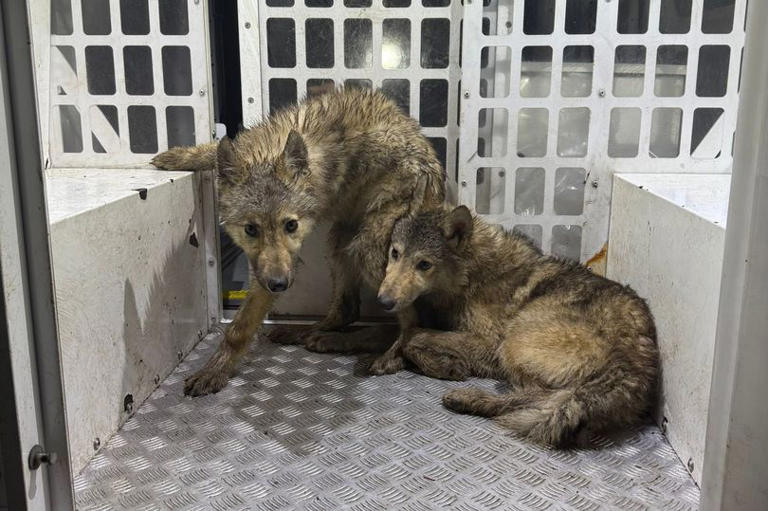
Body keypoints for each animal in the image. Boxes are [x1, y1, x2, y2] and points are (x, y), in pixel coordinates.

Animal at [152, 87, 445, 395]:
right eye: (251, 229)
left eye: (290, 225)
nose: (279, 285)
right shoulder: (266, 268)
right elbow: (216, 148)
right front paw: (179, 156)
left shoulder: (274, 272)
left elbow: (239, 328)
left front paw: (215, 370)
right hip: (340, 240)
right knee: (346, 310)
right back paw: (308, 332)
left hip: (369, 251)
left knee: (411, 318)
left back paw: (391, 356)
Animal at [366, 205, 659, 447]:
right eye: (395, 253)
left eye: (424, 264)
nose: (383, 301)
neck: (471, 274)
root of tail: (632, 365)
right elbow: (408, 334)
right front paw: (387, 358)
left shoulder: (489, 345)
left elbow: (414, 335)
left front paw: (442, 365)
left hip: (512, 345)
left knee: (541, 395)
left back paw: (470, 398)